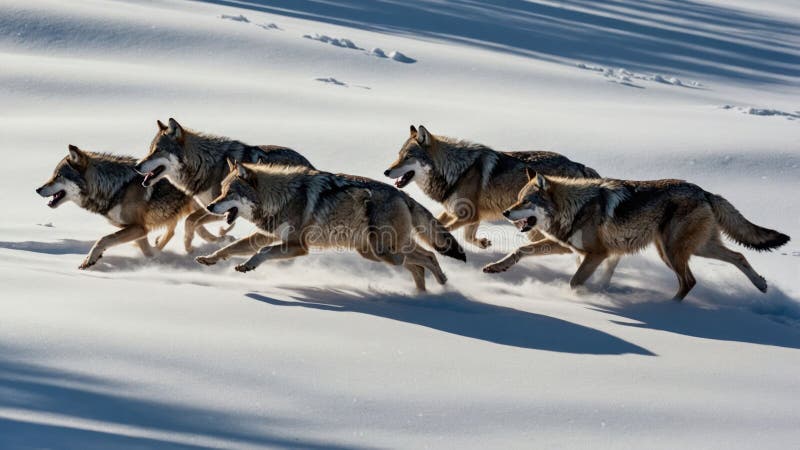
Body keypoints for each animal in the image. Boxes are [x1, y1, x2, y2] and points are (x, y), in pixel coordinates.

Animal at [36, 145, 216, 269]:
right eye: (53, 175)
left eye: (58, 176)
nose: (37, 189)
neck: (114, 187)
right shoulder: (138, 229)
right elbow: (146, 250)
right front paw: (155, 260)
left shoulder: (138, 227)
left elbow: (104, 239)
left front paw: (90, 259)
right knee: (177, 230)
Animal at [134, 118, 315, 252]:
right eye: (150, 149)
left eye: (157, 150)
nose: (136, 166)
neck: (205, 164)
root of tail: (310, 165)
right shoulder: (210, 206)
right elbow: (194, 222)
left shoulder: (220, 208)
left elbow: (190, 221)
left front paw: (189, 245)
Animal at [195, 162, 467, 291]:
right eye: (221, 191)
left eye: (230, 193)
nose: (210, 206)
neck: (283, 197)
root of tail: (404, 195)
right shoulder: (266, 235)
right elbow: (231, 248)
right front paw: (210, 259)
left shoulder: (298, 246)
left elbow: (261, 253)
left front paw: (248, 265)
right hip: (373, 252)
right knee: (422, 262)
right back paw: (429, 294)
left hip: (384, 253)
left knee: (427, 257)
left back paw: (443, 289)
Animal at [383, 125, 600, 249]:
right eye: (398, 155)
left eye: (408, 157)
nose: (386, 171)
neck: (458, 172)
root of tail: (579, 165)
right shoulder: (465, 215)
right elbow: (464, 235)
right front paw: (482, 244)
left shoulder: (467, 215)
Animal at [487, 169, 790, 299]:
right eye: (517, 199)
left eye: (525, 202)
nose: (505, 212)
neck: (576, 206)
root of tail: (705, 192)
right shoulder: (569, 248)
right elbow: (519, 250)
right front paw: (496, 267)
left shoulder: (597, 254)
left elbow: (574, 282)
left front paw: (584, 298)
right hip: (693, 249)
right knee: (739, 256)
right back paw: (761, 285)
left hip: (672, 252)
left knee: (690, 281)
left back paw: (666, 310)